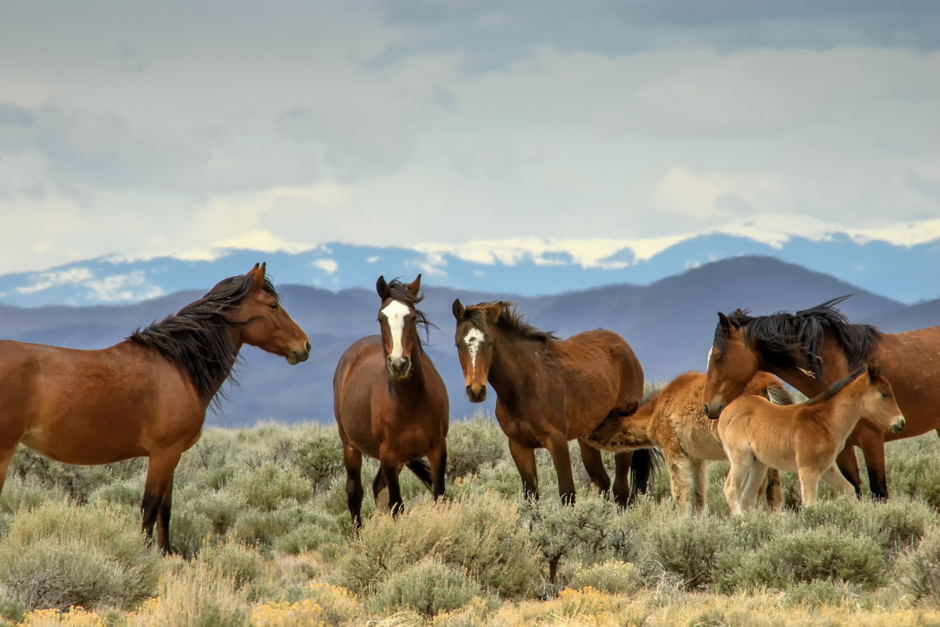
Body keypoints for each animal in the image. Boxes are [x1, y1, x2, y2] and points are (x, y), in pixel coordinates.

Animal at [0, 263, 310, 554]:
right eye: (273, 305)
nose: (305, 346)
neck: (177, 367)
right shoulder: (164, 453)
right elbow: (149, 508)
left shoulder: (172, 455)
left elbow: (165, 510)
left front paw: (165, 553)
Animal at [333, 275, 449, 530]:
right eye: (381, 318)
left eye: (412, 316)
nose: (398, 364)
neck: (411, 402)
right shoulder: (388, 454)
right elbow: (397, 505)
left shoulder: (437, 449)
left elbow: (440, 498)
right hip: (350, 446)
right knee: (354, 494)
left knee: (378, 488)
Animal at [452, 299, 651, 506]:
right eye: (458, 345)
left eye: (490, 343)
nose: (476, 391)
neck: (523, 385)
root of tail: (626, 348)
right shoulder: (519, 446)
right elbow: (531, 496)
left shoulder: (557, 441)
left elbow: (567, 492)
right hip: (587, 438)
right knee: (602, 481)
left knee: (620, 490)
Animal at [587, 371, 793, 515]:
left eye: (605, 416)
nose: (588, 435)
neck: (656, 409)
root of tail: (768, 385)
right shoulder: (695, 458)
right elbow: (698, 494)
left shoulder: (674, 451)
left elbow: (681, 492)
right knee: (774, 489)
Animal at [717, 365, 904, 513]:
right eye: (884, 394)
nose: (901, 423)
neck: (823, 421)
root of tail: (725, 412)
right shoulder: (808, 470)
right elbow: (809, 505)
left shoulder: (827, 468)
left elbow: (848, 489)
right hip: (741, 459)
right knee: (731, 489)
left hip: (758, 463)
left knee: (747, 496)